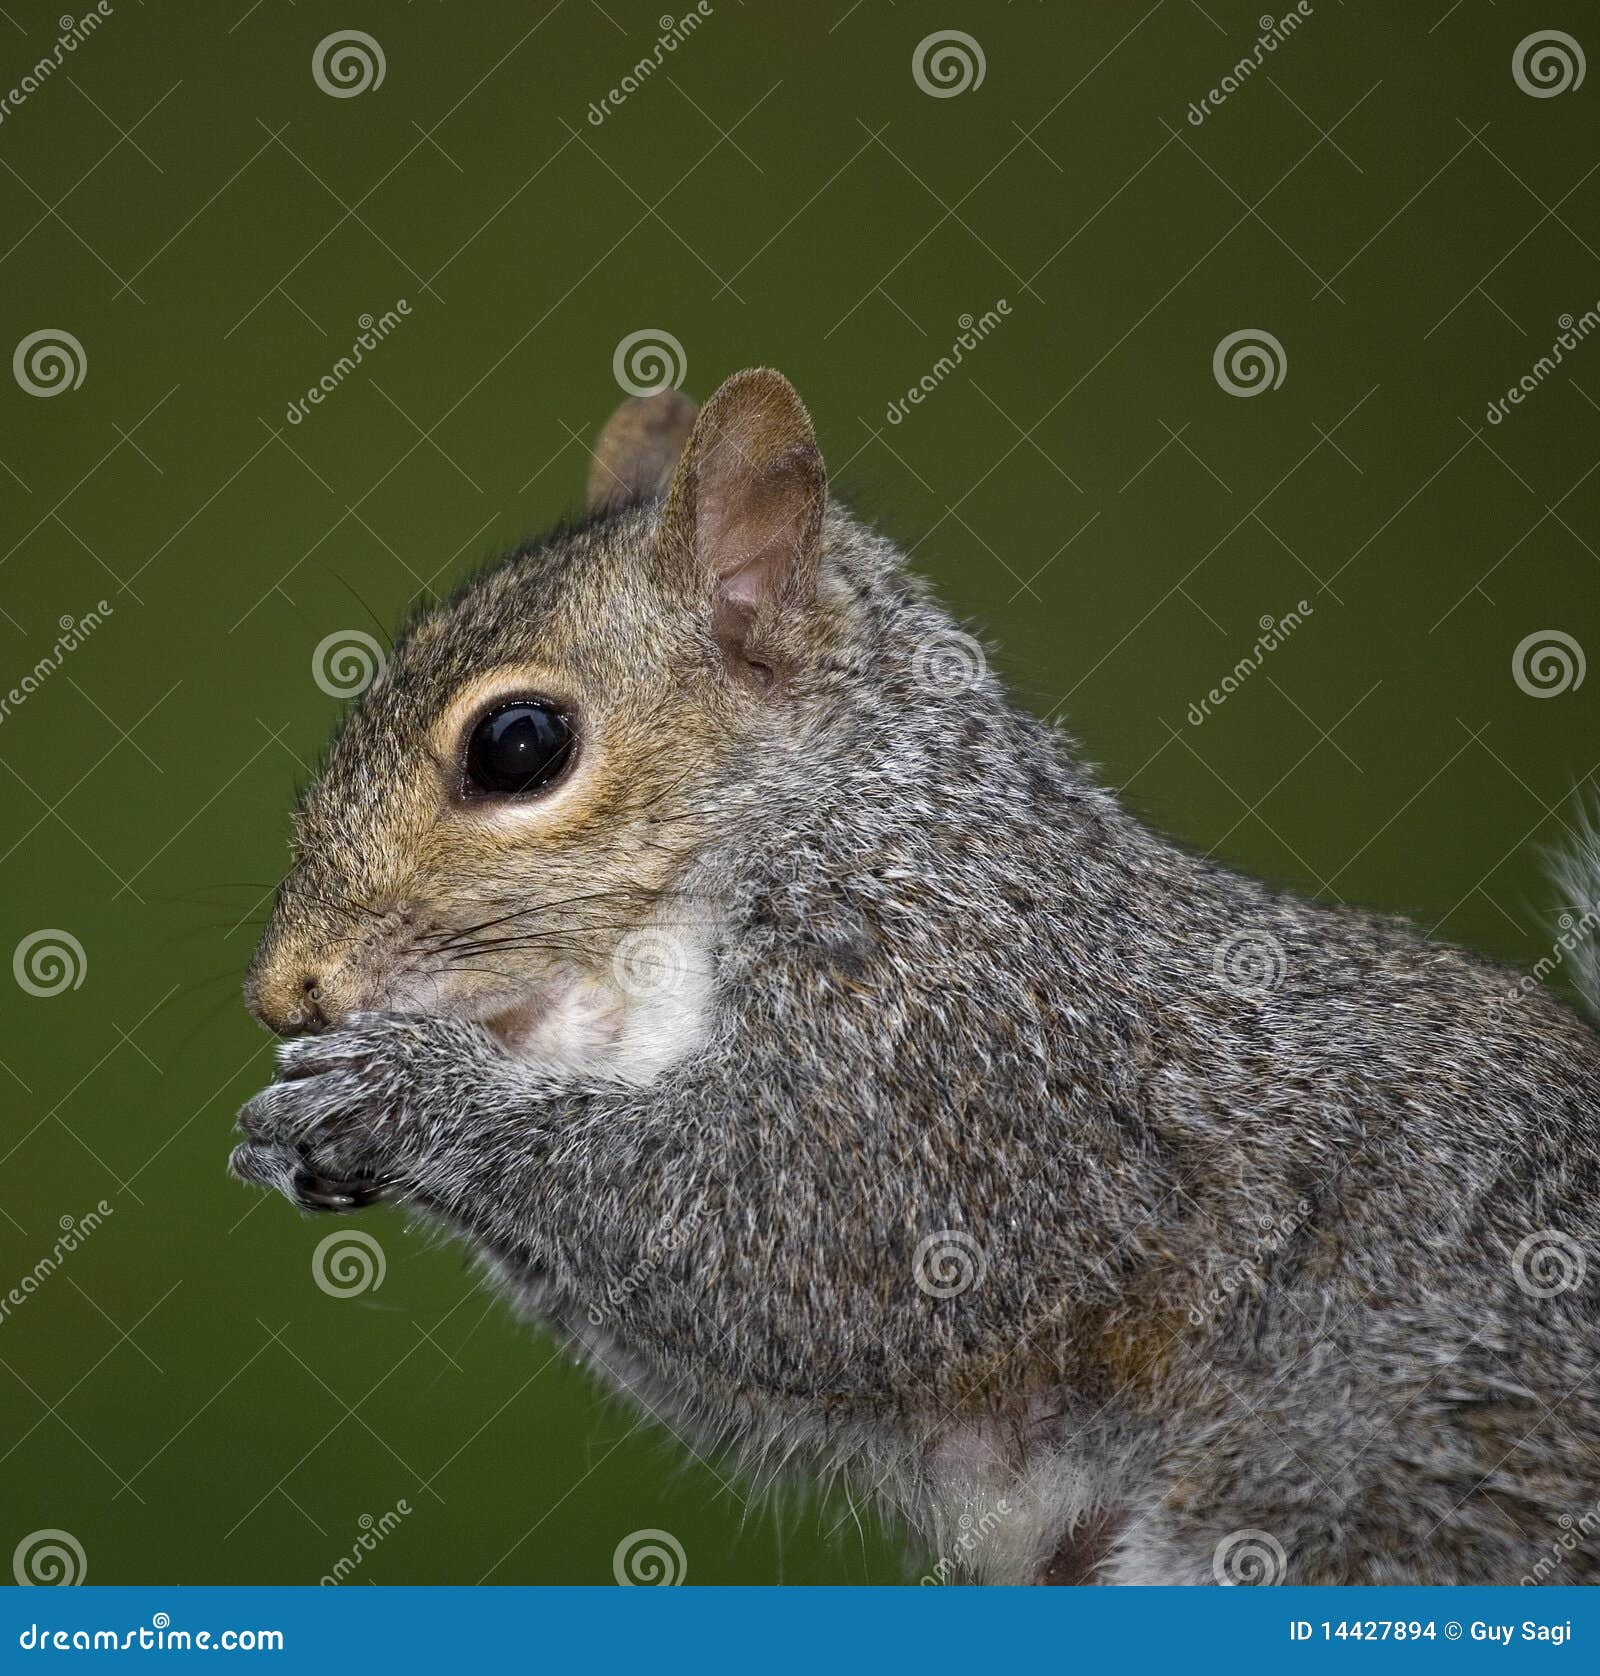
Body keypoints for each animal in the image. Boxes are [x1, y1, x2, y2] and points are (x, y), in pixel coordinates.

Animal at [232, 367, 1600, 1586]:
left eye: (519, 744)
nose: (285, 991)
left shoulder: (964, 1039)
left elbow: (807, 1237)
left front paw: (406, 1091)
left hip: (1380, 1475)